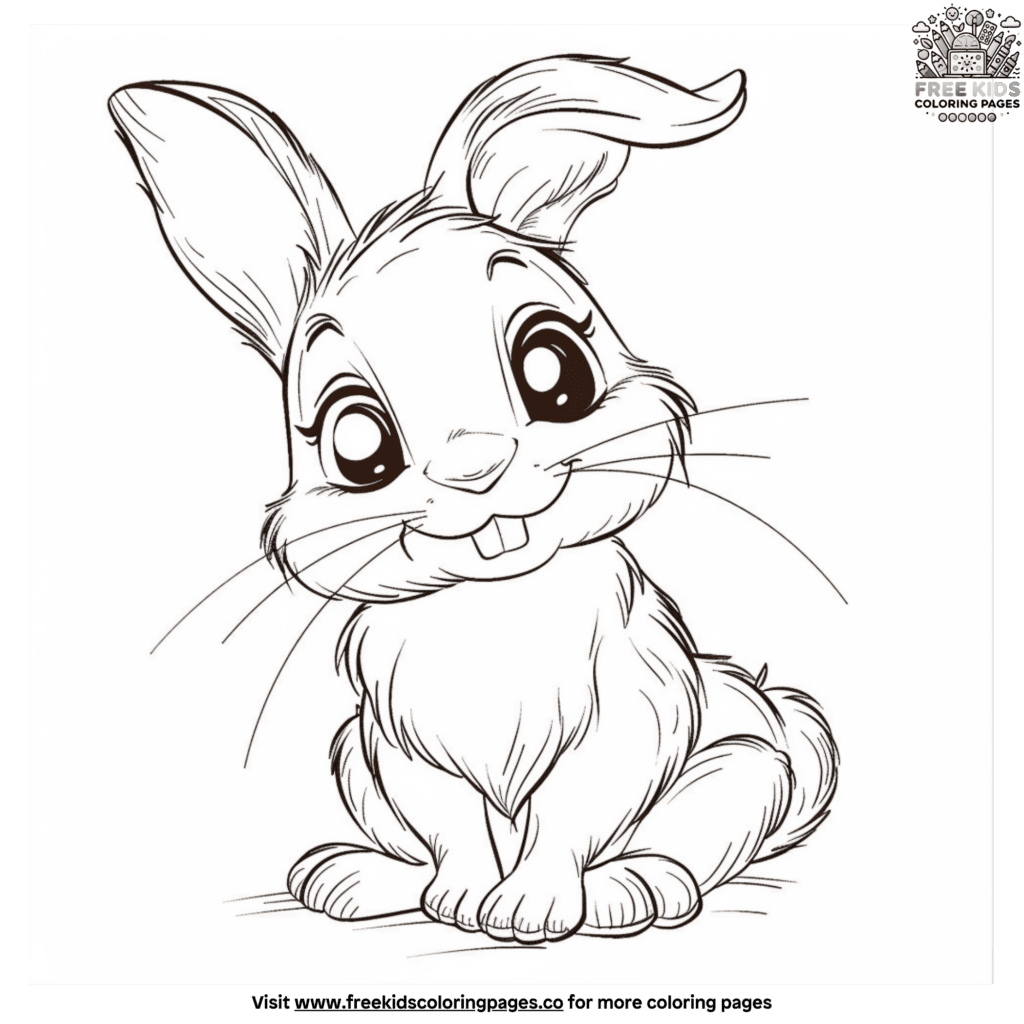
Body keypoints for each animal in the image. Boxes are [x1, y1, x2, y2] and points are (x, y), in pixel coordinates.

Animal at [109, 55, 838, 944]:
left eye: (555, 368)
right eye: (356, 444)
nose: (474, 469)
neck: (494, 606)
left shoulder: (627, 715)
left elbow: (569, 814)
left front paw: (531, 913)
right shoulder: (396, 744)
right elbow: (453, 824)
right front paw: (459, 900)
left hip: (747, 764)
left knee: (692, 836)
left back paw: (635, 889)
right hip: (352, 760)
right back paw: (353, 879)